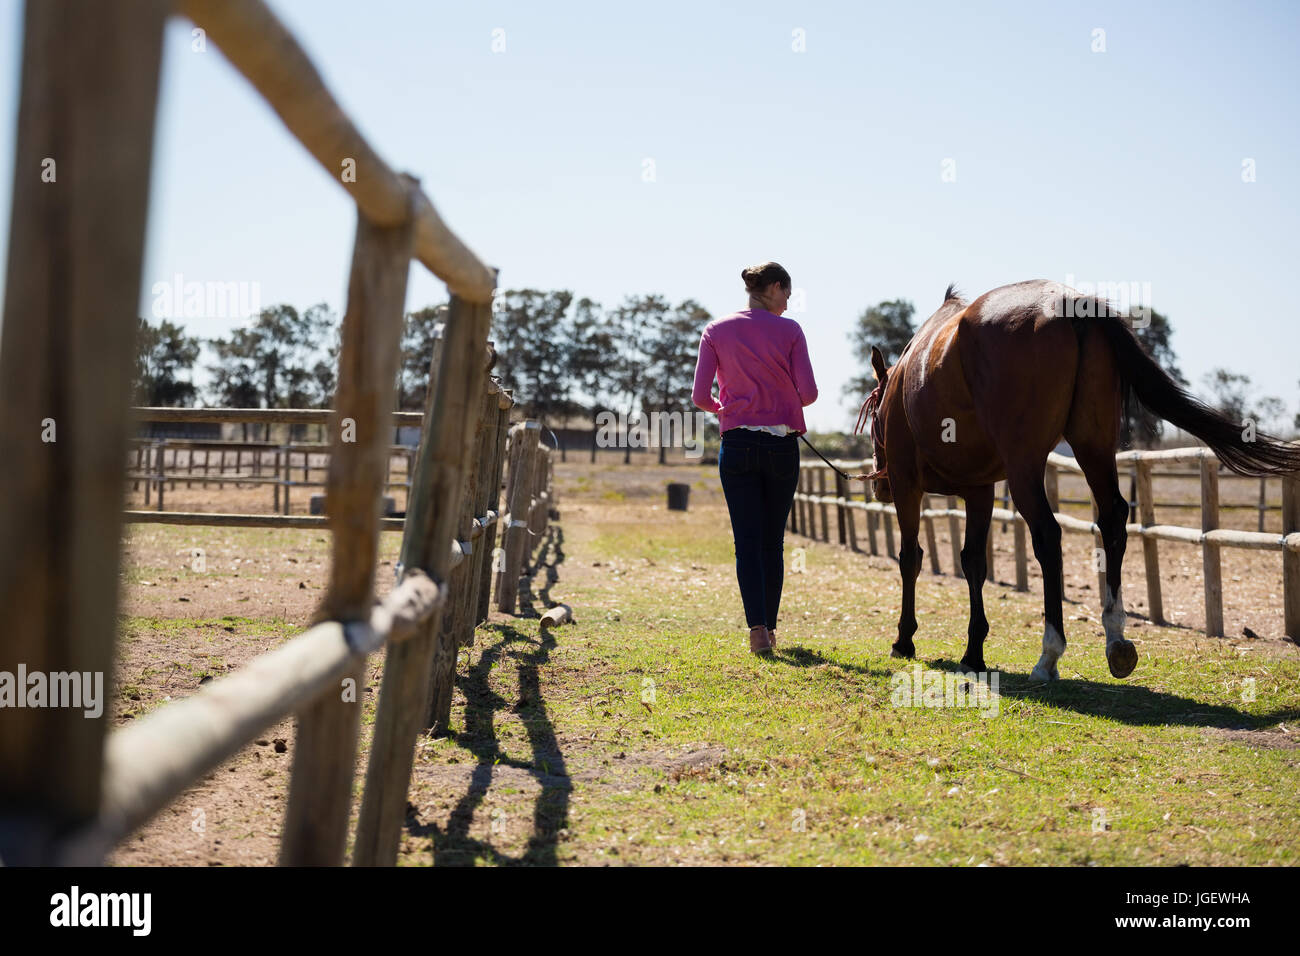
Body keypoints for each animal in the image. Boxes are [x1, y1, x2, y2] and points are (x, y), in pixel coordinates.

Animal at [858, 279, 1300, 682]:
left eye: (873, 414)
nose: (878, 484)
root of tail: (1073, 304)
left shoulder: (910, 485)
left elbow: (911, 558)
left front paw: (905, 640)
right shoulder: (979, 490)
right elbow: (973, 563)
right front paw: (973, 651)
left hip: (1024, 468)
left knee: (1048, 535)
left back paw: (1049, 654)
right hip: (1092, 447)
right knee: (1113, 518)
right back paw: (1116, 639)